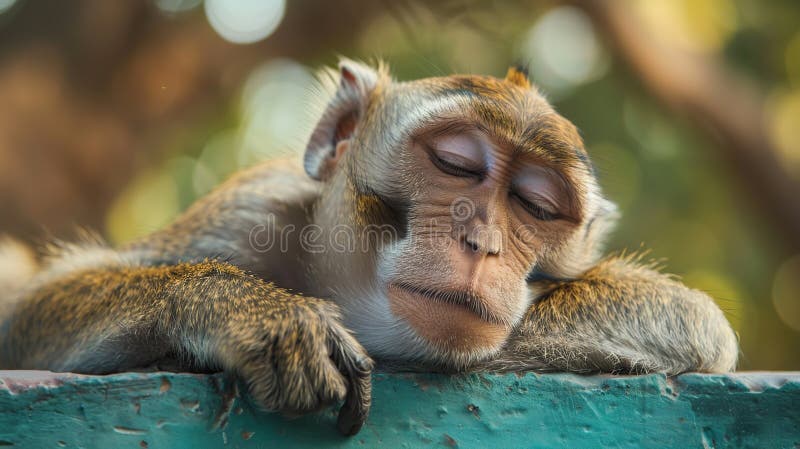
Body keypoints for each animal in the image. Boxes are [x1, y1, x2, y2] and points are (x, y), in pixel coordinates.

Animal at [0, 59, 738, 436]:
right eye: (454, 163)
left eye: (537, 206)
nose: (483, 241)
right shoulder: (250, 213)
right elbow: (23, 320)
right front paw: (248, 310)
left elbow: (699, 323)